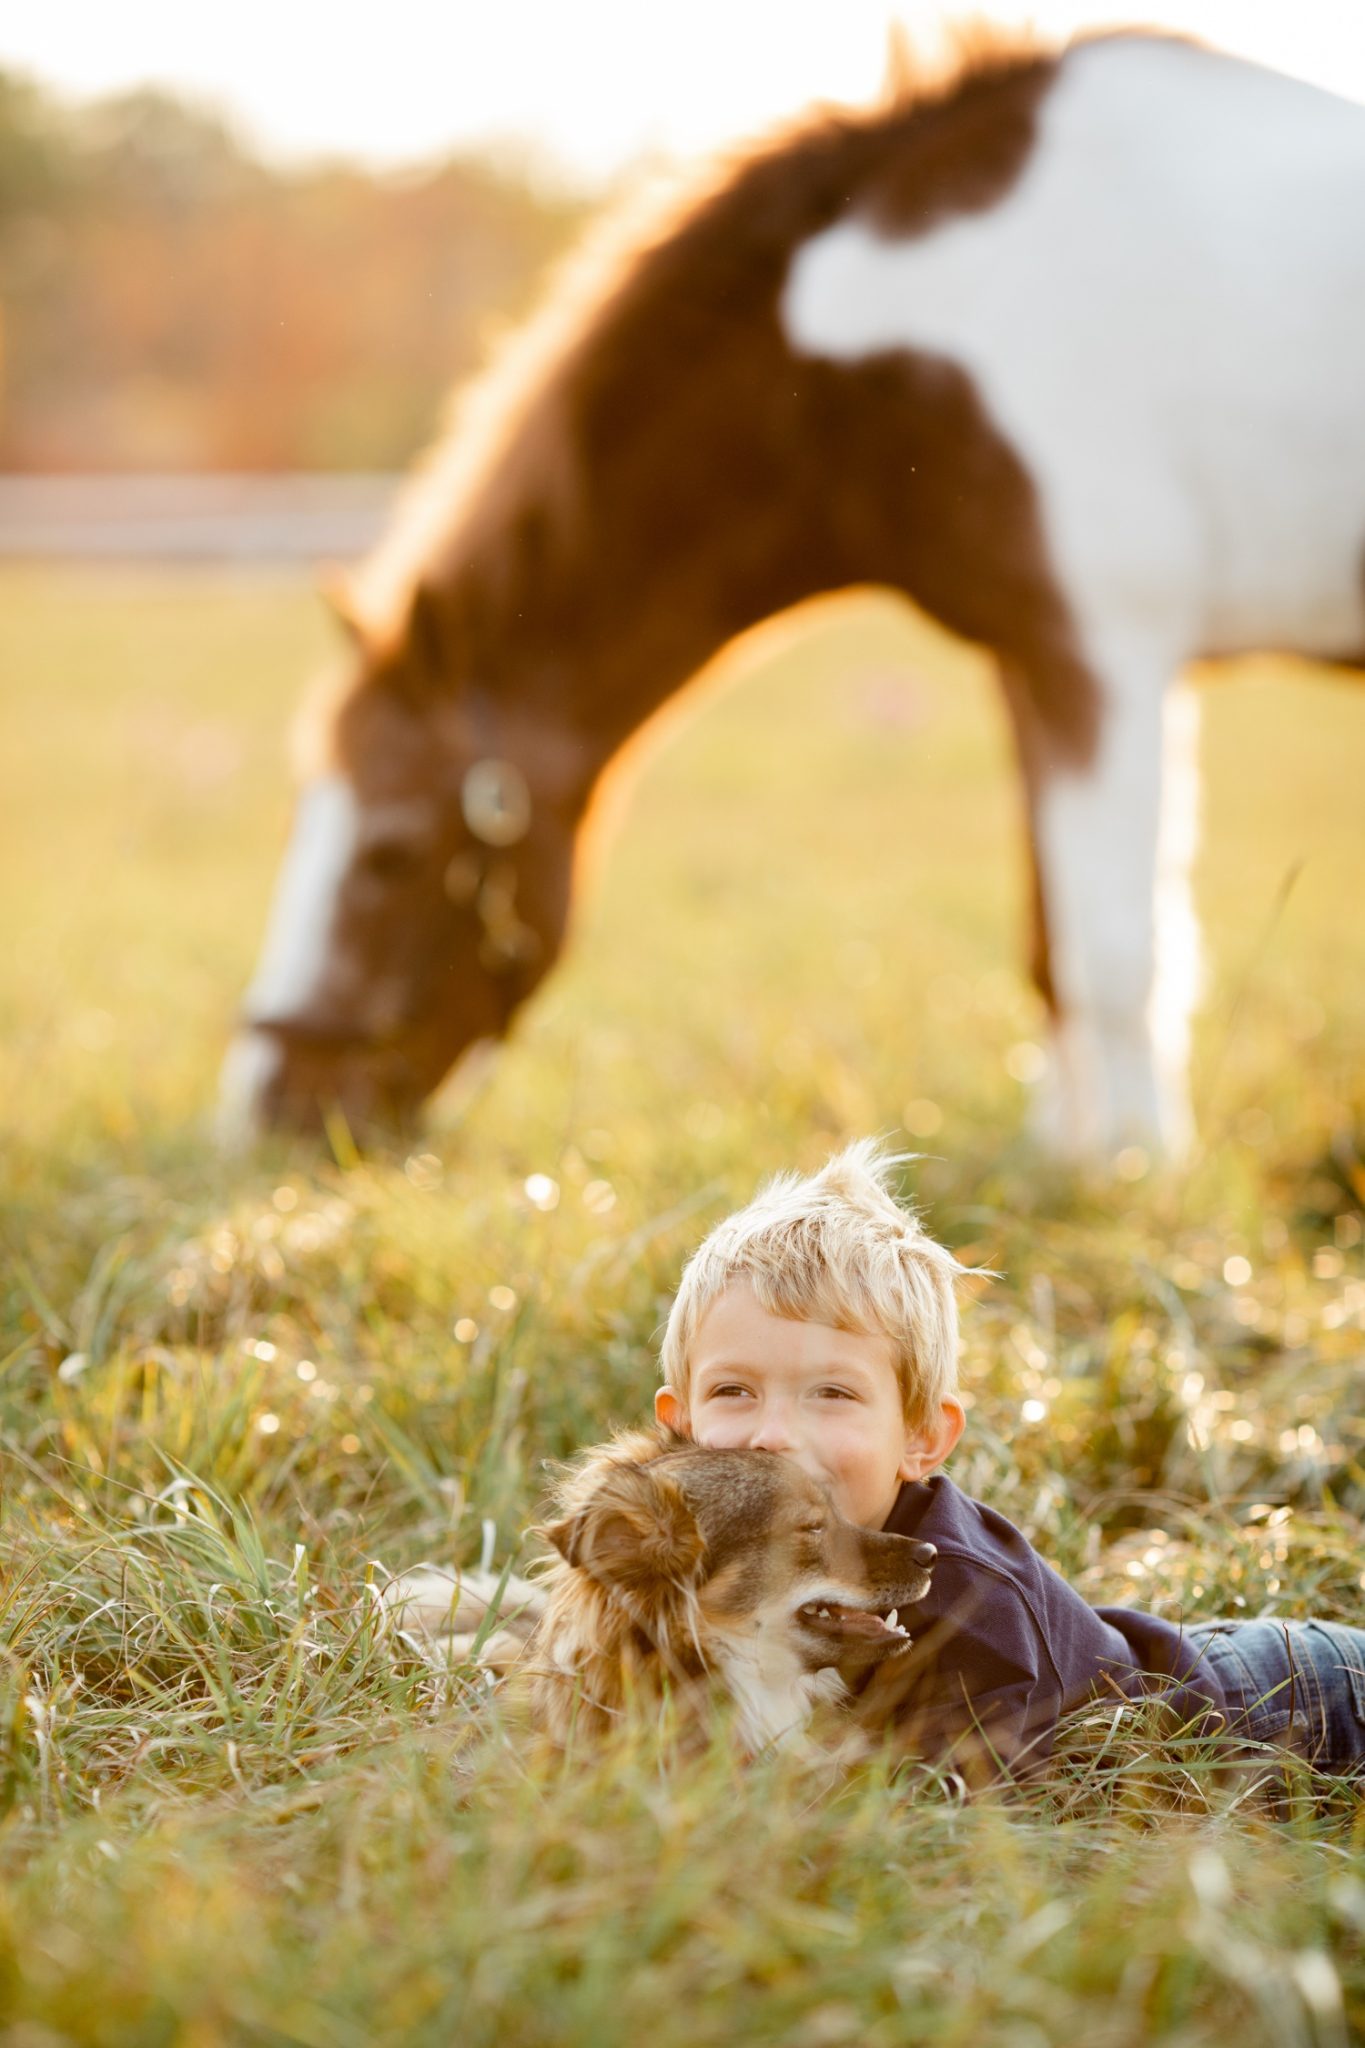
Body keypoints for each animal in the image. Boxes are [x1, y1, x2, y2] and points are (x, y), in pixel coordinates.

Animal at [221, 30, 1365, 1156]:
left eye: (390, 850)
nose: (261, 1114)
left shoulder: (1104, 651)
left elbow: (1117, 946)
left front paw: (1134, 1169)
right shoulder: (1032, 659)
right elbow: (1053, 936)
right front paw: (1071, 1153)